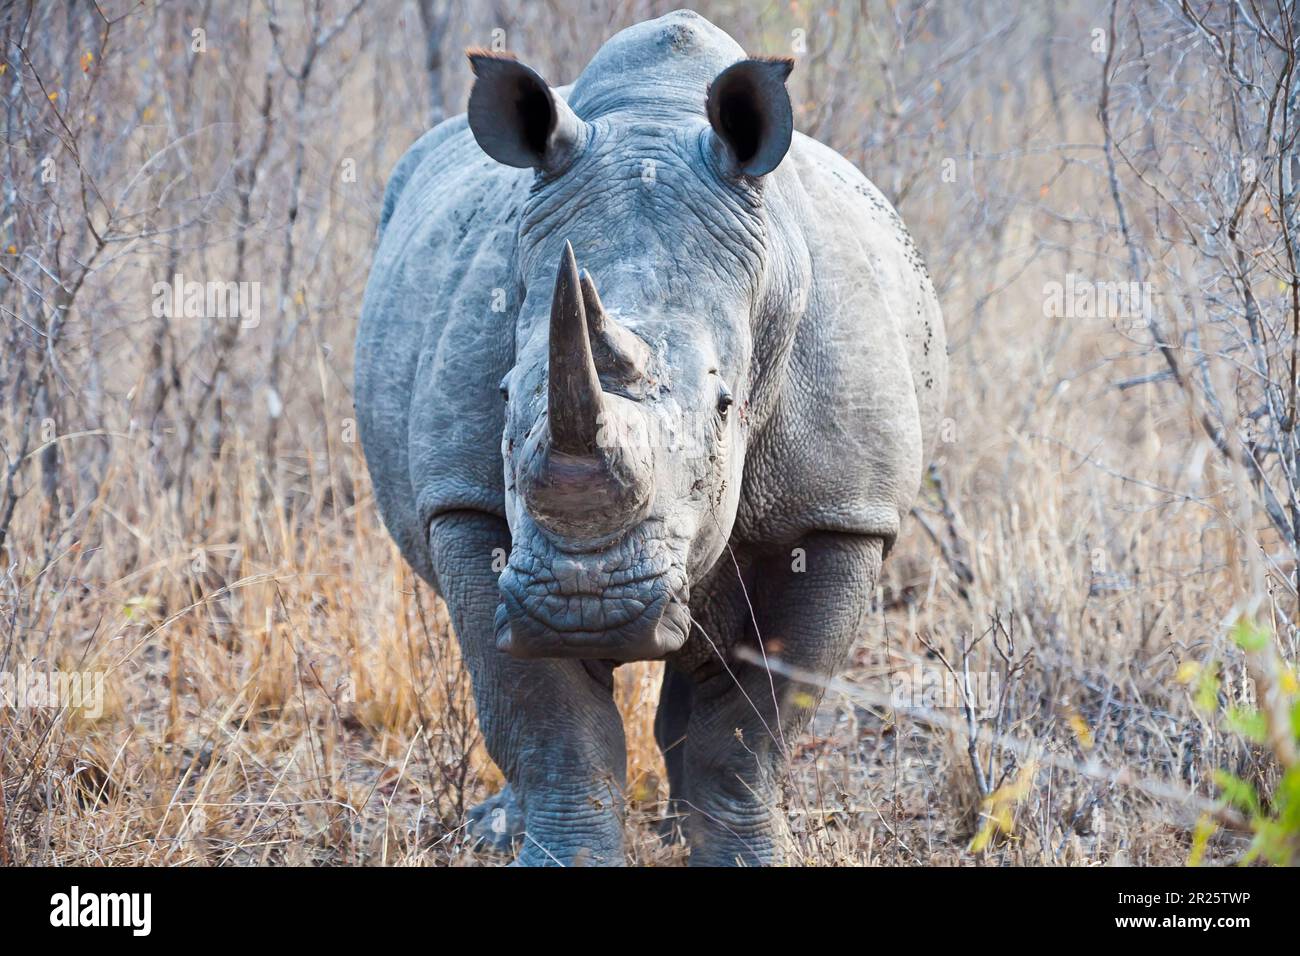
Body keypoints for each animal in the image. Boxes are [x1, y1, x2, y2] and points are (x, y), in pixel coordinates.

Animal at [355, 9, 946, 866]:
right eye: (502, 395)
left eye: (727, 406)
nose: (583, 607)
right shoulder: (464, 505)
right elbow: (544, 718)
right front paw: (562, 854)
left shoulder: (841, 513)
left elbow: (751, 729)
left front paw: (748, 854)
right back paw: (503, 828)